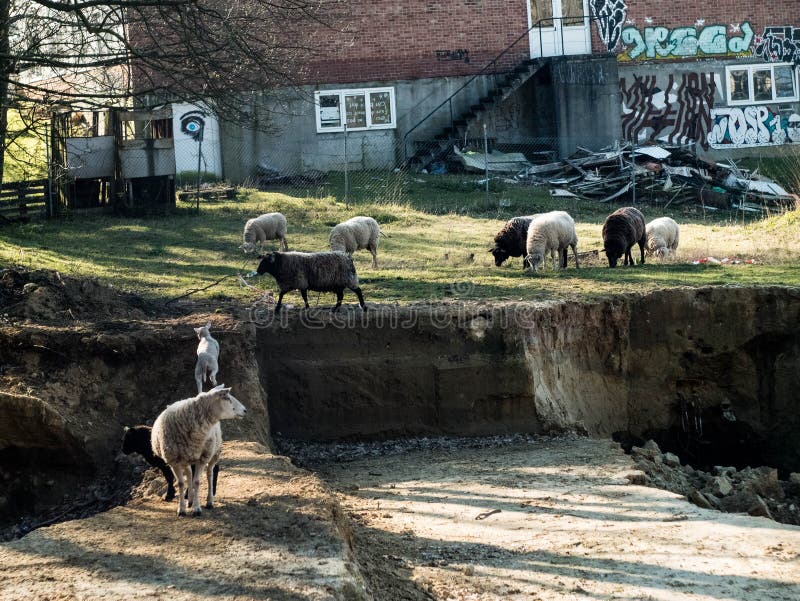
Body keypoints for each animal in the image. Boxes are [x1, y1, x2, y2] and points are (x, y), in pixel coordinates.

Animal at [151, 384, 246, 516]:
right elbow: (181, 483)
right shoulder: (173, 460)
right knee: (189, 473)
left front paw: (197, 509)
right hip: (186, 457)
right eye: (227, 398)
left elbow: (197, 482)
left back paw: (209, 502)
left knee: (210, 473)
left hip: (213, 453)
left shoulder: (202, 458)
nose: (245, 410)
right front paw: (181, 509)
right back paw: (190, 500)